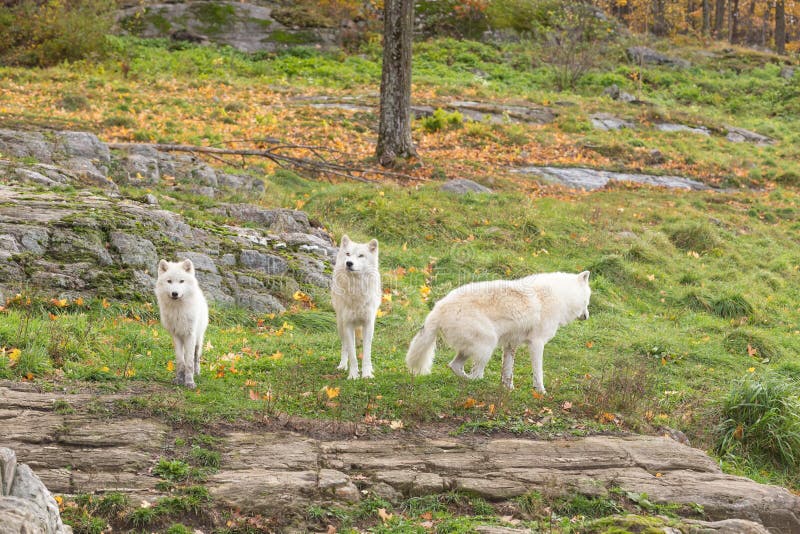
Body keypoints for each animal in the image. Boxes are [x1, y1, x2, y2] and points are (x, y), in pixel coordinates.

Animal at [155, 259, 209, 389]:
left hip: (198, 340)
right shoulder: (176, 336)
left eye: (181, 281)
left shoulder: (190, 335)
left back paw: (197, 373)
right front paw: (179, 379)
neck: (178, 310)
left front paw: (189, 382)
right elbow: (180, 361)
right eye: (169, 281)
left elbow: (189, 362)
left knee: (196, 357)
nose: (174, 293)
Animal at [331, 235, 382, 379]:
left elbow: (367, 353)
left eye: (361, 256)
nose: (349, 263)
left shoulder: (368, 324)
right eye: (348, 254)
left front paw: (367, 374)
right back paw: (342, 366)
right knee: (345, 346)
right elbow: (353, 355)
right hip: (341, 325)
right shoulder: (348, 324)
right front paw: (353, 375)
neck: (356, 288)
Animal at [406, 271, 591, 393]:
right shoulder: (537, 343)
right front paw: (541, 391)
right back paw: (480, 385)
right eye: (588, 300)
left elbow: (507, 372)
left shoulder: (510, 344)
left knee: (454, 366)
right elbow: (538, 372)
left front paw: (508, 389)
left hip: (473, 350)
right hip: (488, 345)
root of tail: (437, 310)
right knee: (475, 375)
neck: (561, 296)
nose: (587, 316)